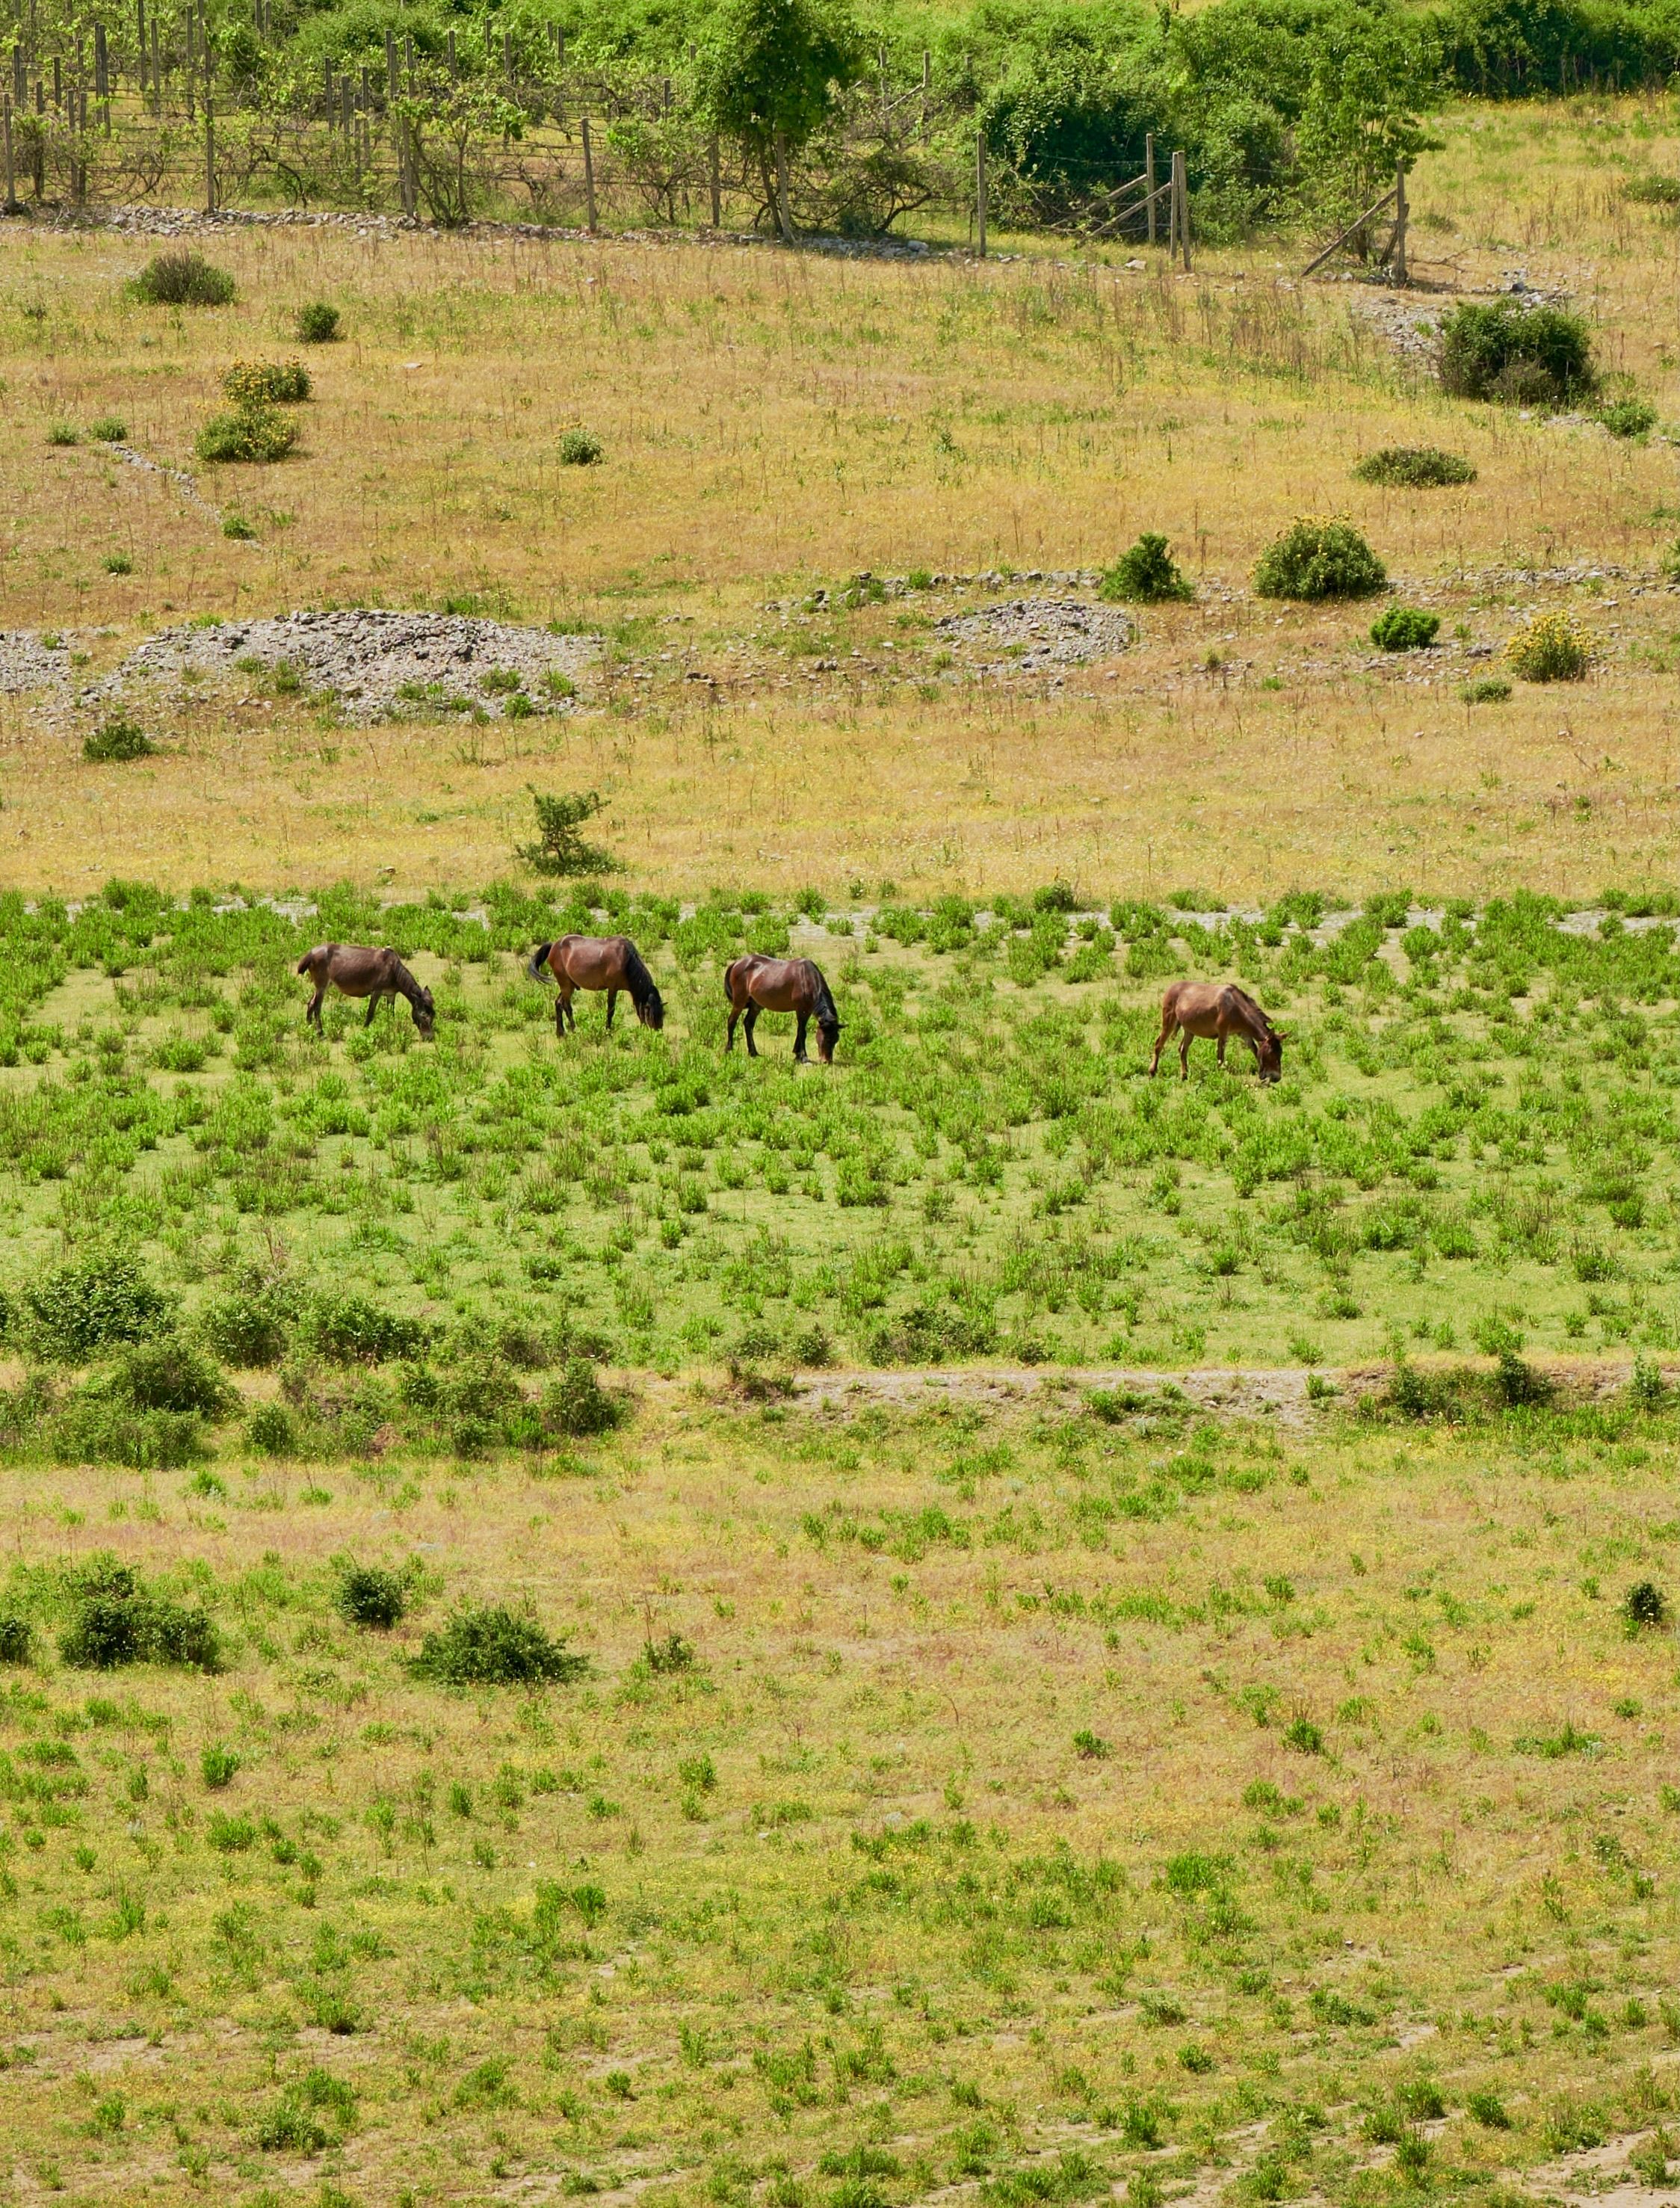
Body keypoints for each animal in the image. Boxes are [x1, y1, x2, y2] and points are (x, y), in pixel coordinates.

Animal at [298, 944, 435, 1038]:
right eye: (424, 1015)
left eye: (434, 1015)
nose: (429, 1037)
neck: (394, 970)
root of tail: (311, 953)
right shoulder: (376, 991)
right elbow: (370, 1012)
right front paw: (365, 1030)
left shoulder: (391, 994)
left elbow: (390, 1014)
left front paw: (391, 1029)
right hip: (322, 985)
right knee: (317, 1007)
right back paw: (320, 1032)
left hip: (322, 986)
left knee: (311, 1003)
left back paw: (308, 1027)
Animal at [526, 935, 664, 1036]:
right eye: (652, 1013)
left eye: (662, 1013)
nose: (658, 1031)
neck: (626, 960)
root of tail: (554, 945)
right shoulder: (613, 989)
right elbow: (611, 1010)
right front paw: (608, 1030)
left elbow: (637, 1008)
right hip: (565, 984)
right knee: (567, 1007)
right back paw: (574, 1029)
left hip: (569, 985)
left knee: (559, 1003)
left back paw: (561, 1032)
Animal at [723, 954, 841, 1063]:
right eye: (826, 1038)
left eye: (836, 1040)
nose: (827, 1061)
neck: (807, 979)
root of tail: (737, 963)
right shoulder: (801, 1010)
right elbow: (802, 1032)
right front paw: (803, 1057)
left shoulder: (807, 1011)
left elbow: (799, 1031)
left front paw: (797, 1054)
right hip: (739, 1004)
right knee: (731, 1022)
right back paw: (729, 1049)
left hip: (755, 1006)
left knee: (748, 1024)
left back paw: (753, 1052)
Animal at [1149, 980, 1282, 1083]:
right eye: (1272, 1053)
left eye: (1280, 1053)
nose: (1277, 1078)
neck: (1236, 1007)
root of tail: (1171, 987)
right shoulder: (1223, 1033)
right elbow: (1220, 1056)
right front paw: (1219, 1077)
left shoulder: (1243, 1033)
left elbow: (1254, 1049)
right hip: (1169, 1022)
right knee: (1159, 1044)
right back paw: (1152, 1072)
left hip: (1189, 1030)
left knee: (1182, 1049)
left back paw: (1184, 1076)